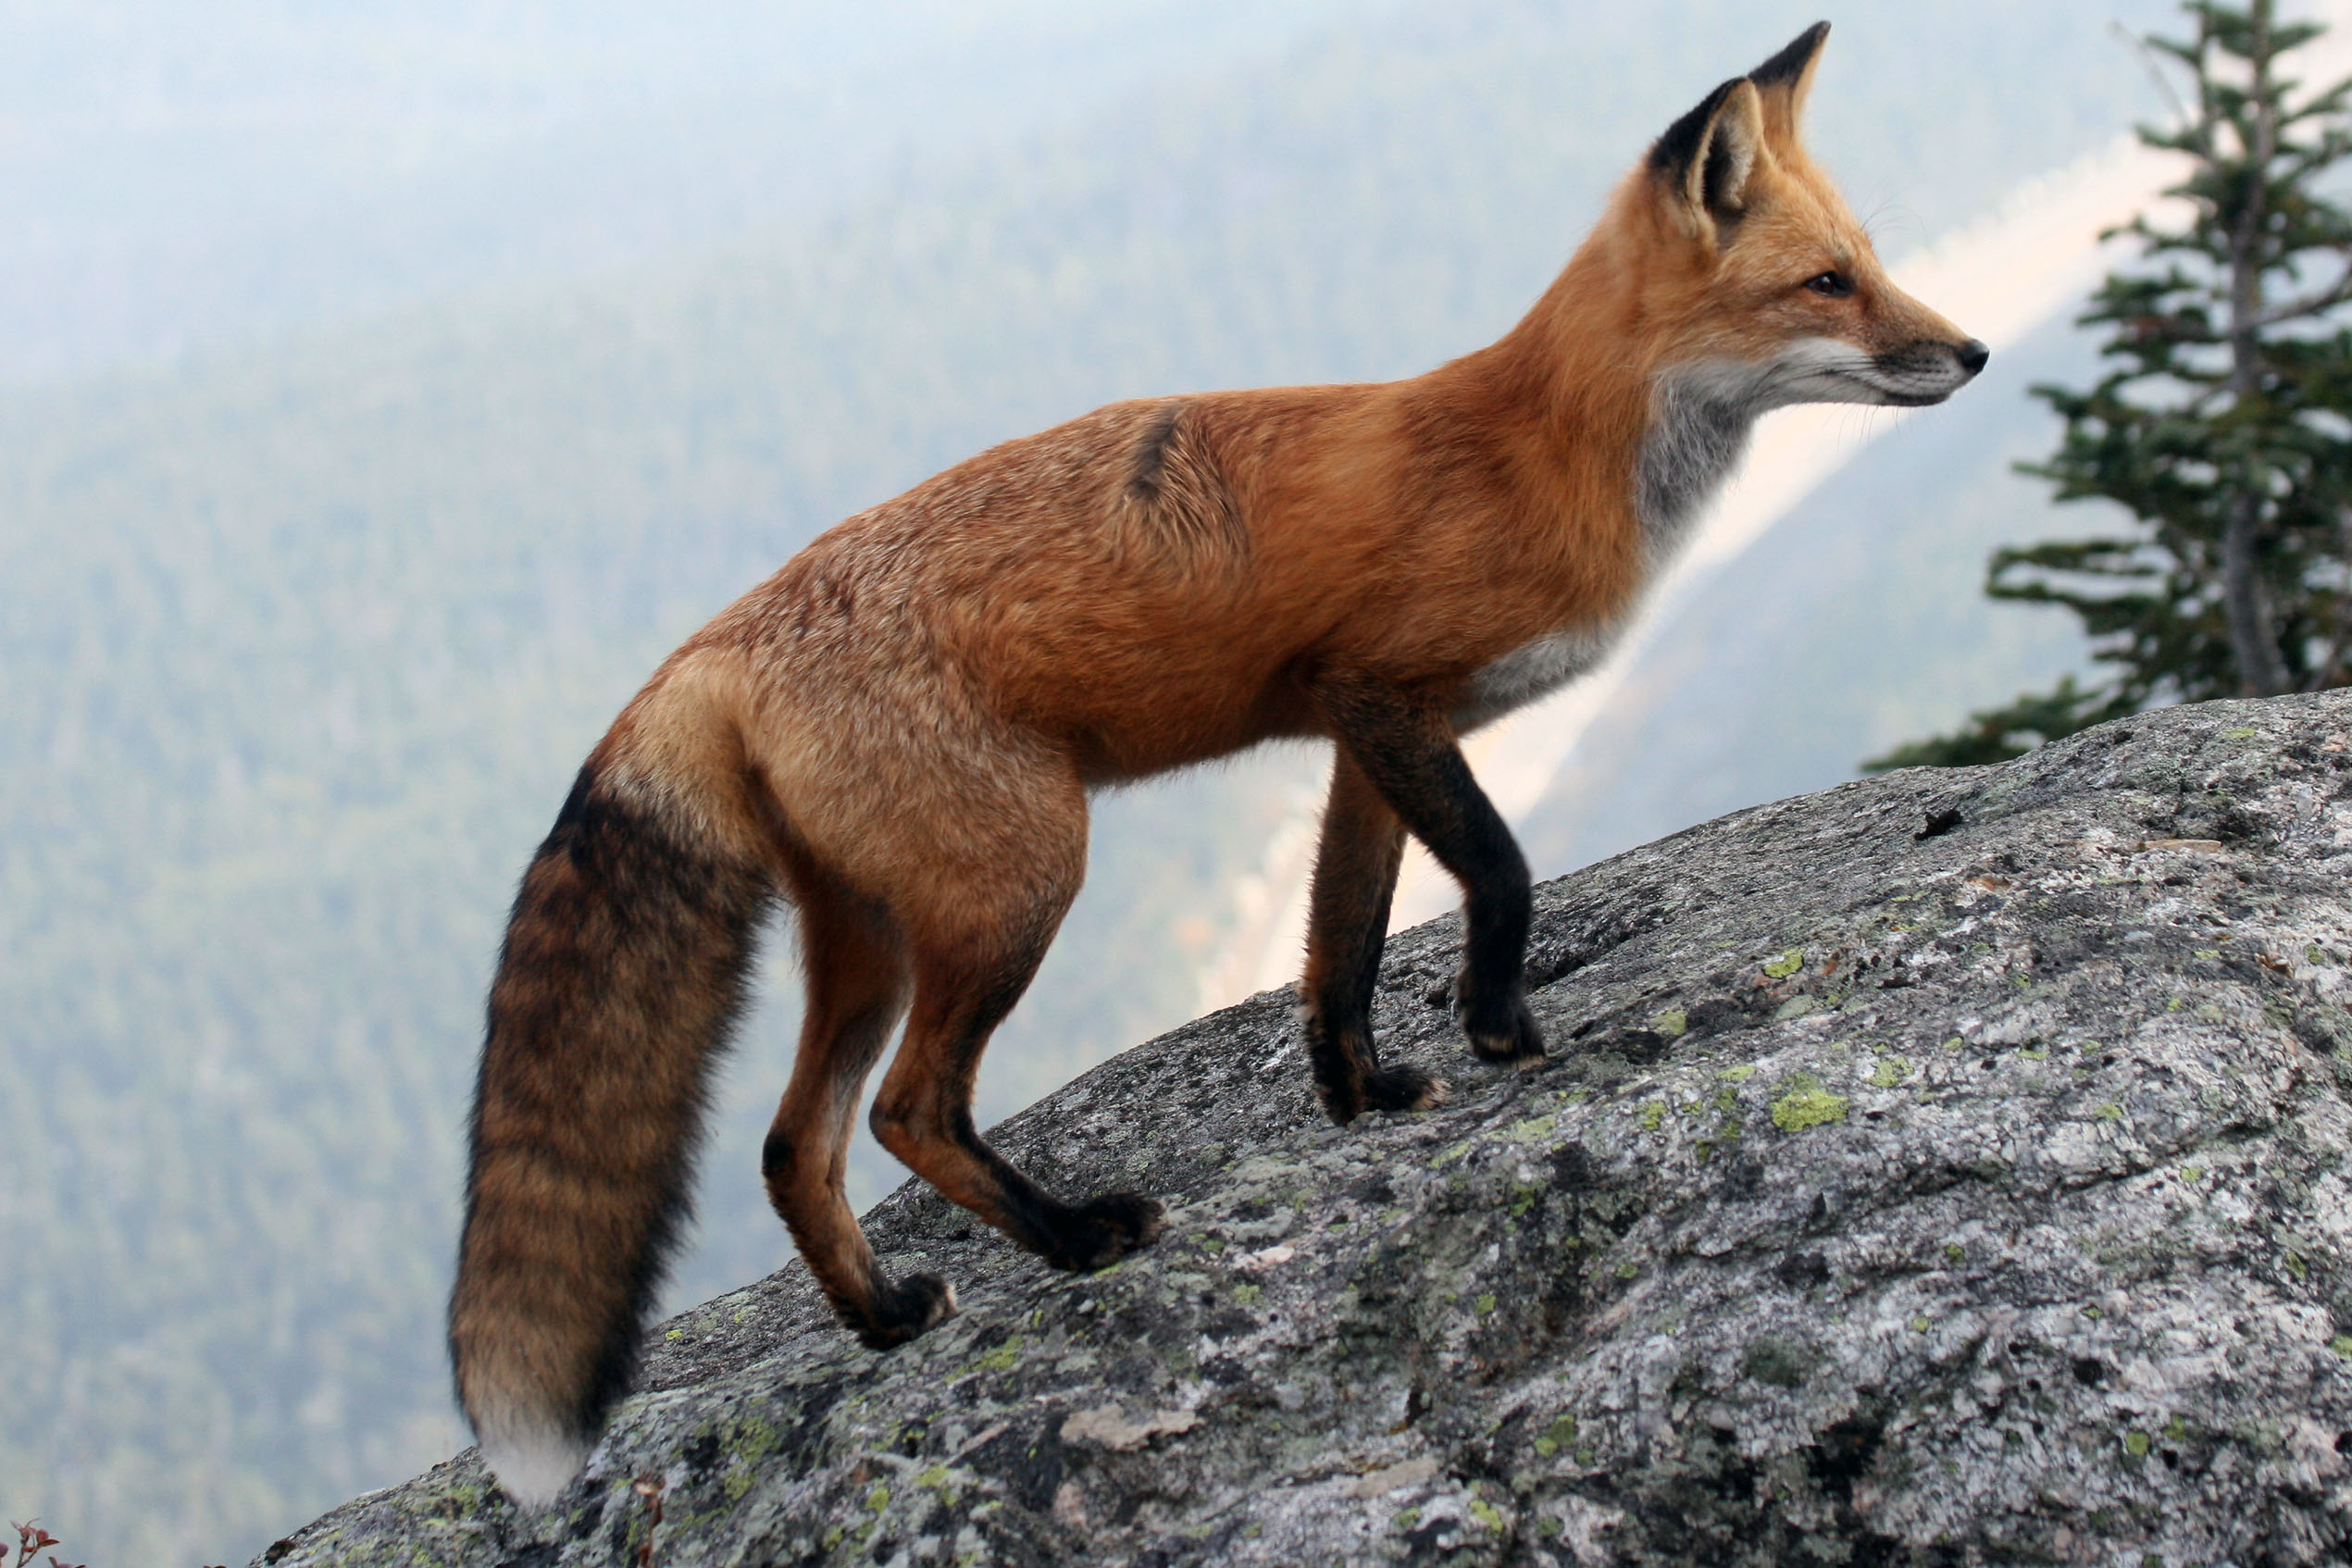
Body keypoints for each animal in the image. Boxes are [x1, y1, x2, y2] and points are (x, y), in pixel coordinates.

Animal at [449, 20, 1985, 1507]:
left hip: (874, 937)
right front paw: (1499, 1027)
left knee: (790, 1147)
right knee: (903, 1111)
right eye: (1827, 283)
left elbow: (1339, 948)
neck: (1543, 444)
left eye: (1872, 265)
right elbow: (1501, 872)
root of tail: (712, 644)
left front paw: (1363, 1093)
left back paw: (883, 1314)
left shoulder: (1360, 745)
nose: (1970, 353)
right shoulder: (1385, 699)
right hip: (1020, 883)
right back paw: (1076, 1237)